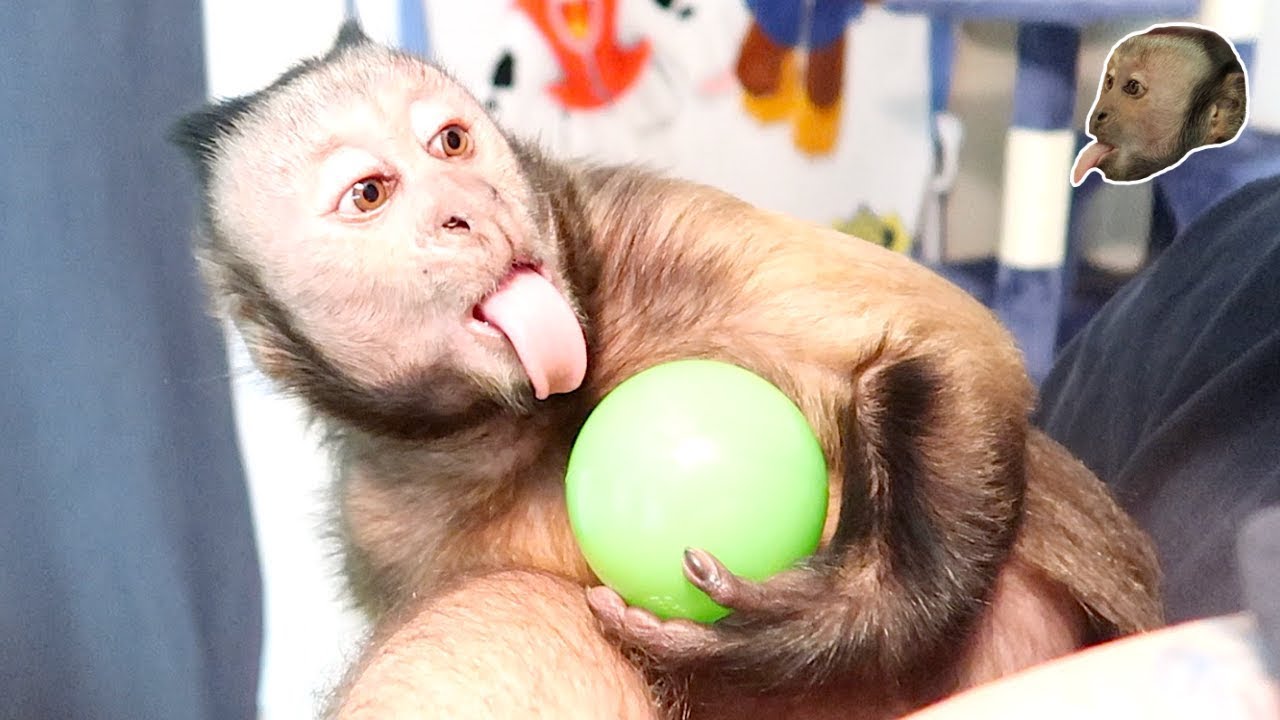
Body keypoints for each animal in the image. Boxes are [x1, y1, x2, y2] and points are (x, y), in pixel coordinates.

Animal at [171, 20, 1163, 719]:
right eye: (371, 194)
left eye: (450, 144)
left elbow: (948, 336)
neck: (527, 416)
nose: (468, 207)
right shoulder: (383, 522)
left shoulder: (654, 231)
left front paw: (852, 613)